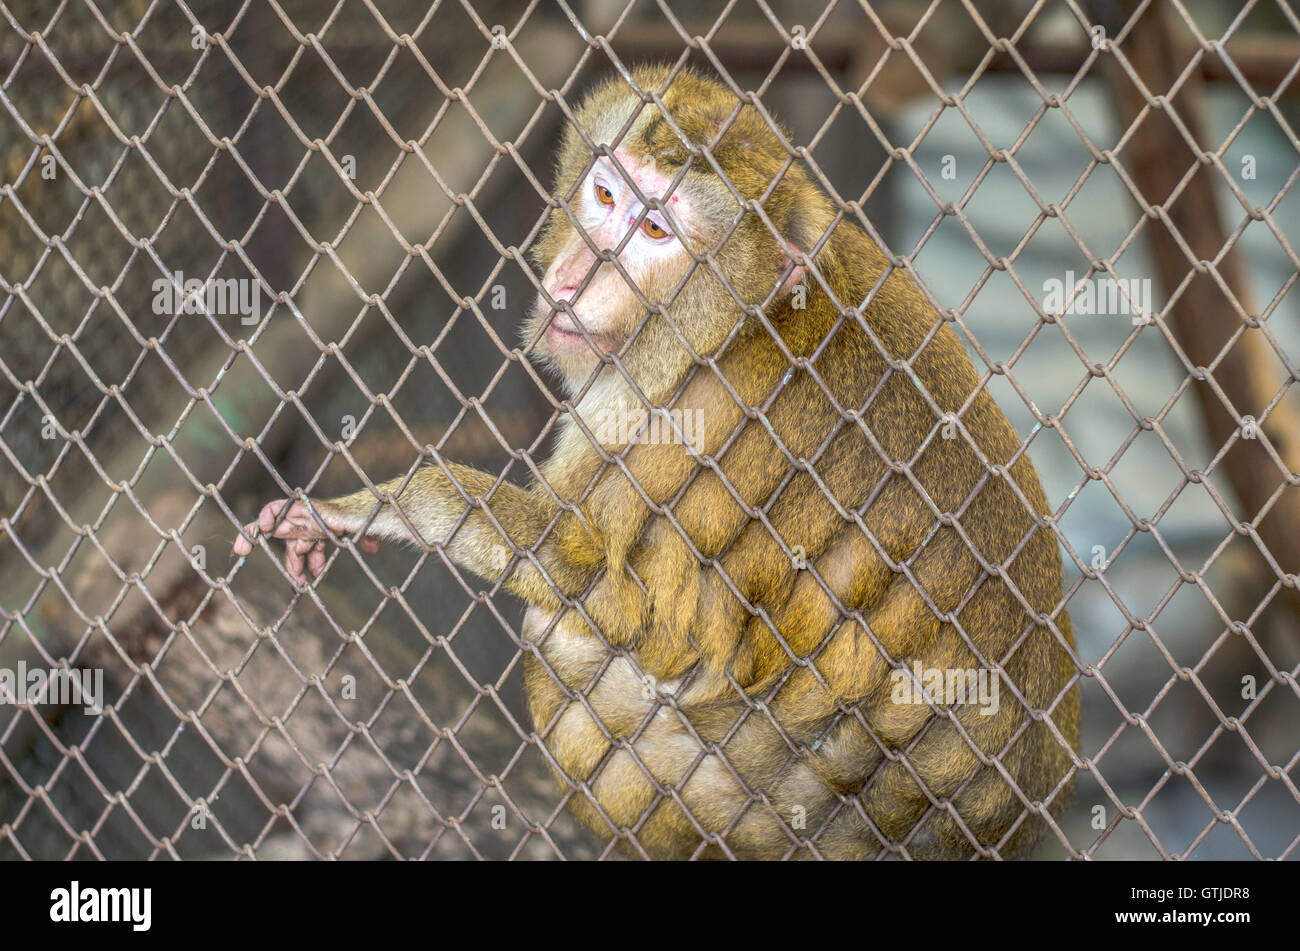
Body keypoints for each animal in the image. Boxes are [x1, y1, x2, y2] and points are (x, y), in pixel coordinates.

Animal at [233, 64, 1080, 860]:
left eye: (654, 228)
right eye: (605, 194)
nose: (574, 276)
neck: (741, 323)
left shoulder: (685, 422)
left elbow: (599, 583)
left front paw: (378, 504)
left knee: (565, 635)